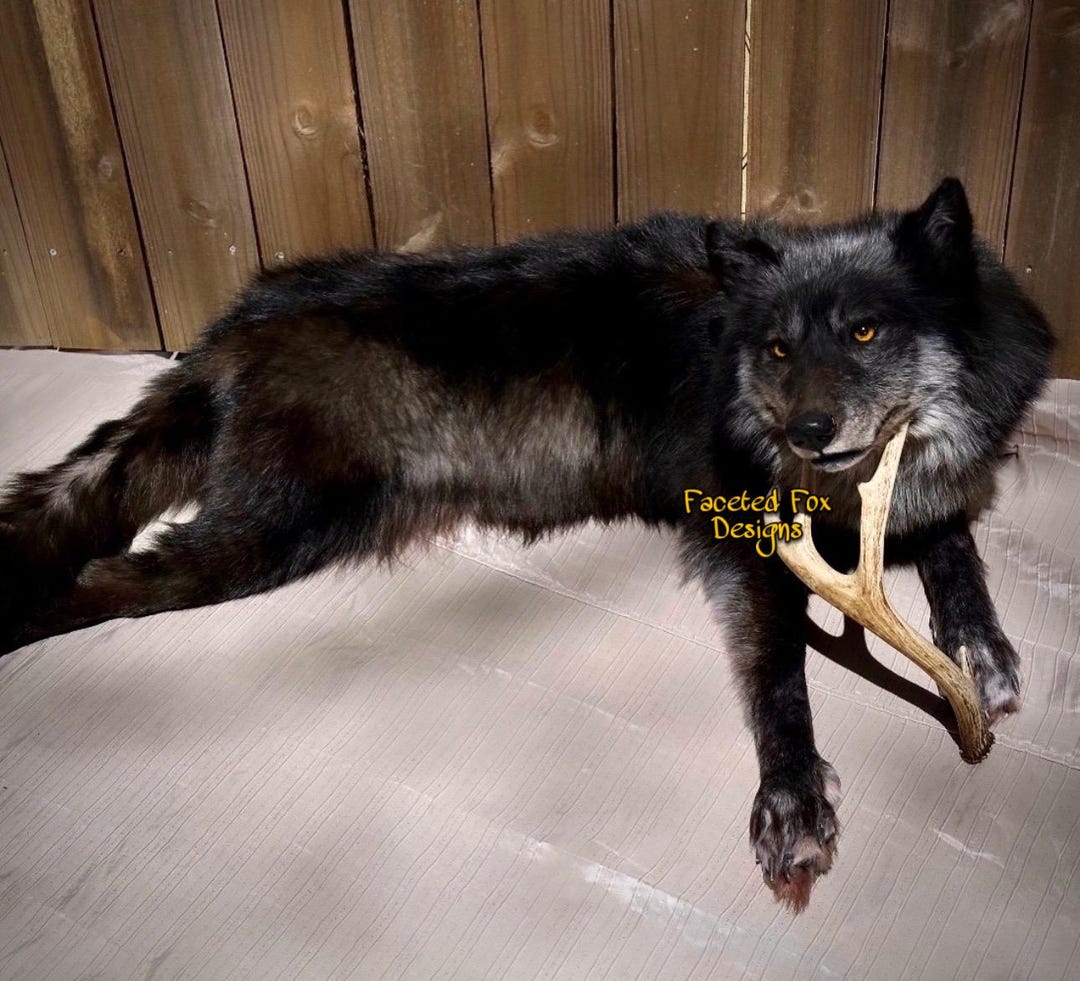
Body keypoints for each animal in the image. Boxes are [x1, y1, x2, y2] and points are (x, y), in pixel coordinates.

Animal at [0, 178, 1052, 911]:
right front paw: (793, 798)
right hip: (266, 534)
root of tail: (232, 325)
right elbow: (783, 671)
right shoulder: (748, 538)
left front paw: (981, 645)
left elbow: (954, 542)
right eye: (780, 349)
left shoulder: (917, 492)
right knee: (102, 576)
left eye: (865, 331)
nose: (807, 431)